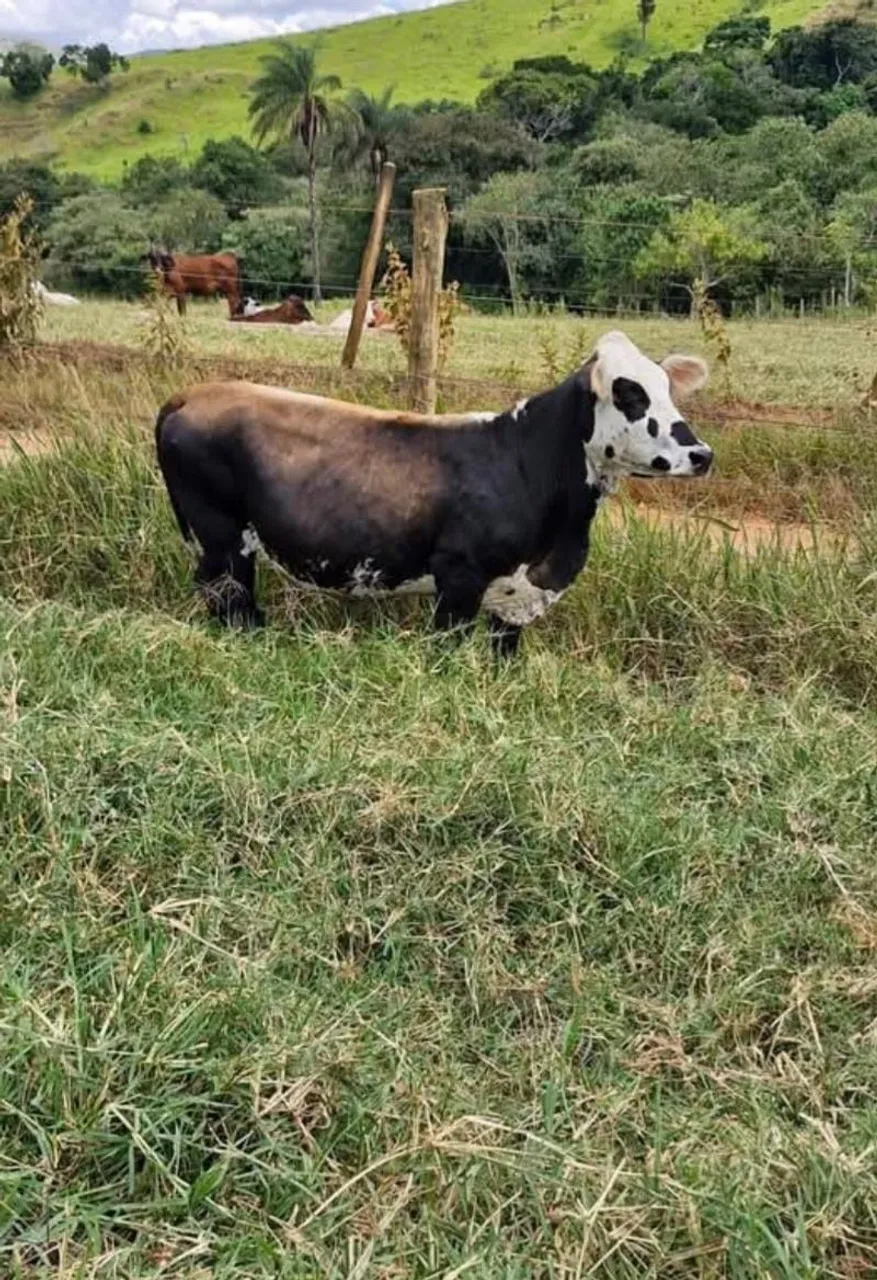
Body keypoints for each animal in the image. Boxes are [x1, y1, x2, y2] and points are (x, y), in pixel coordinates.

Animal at [155, 330, 711, 657]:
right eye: (629, 394)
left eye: (668, 388)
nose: (702, 454)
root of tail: (191, 394)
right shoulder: (458, 578)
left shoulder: (514, 597)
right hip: (221, 538)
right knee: (229, 599)